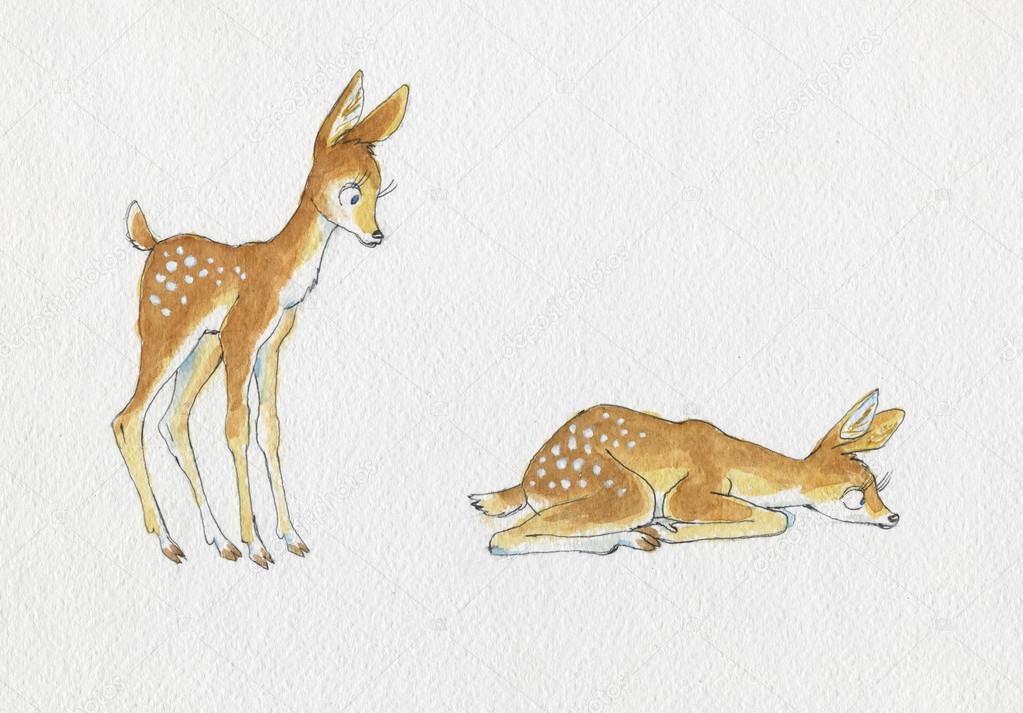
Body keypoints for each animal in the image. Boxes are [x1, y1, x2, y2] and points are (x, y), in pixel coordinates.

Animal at [112, 71, 409, 568]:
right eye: (351, 191)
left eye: (380, 189)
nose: (376, 234)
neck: (277, 274)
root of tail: (149, 243)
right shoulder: (242, 334)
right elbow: (236, 427)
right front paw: (258, 546)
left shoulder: (271, 341)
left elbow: (269, 427)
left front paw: (290, 537)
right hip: (165, 331)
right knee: (128, 418)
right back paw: (171, 542)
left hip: (202, 347)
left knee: (172, 419)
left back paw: (219, 540)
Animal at [469, 390, 904, 555]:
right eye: (855, 496)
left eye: (879, 485)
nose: (892, 516)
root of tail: (528, 480)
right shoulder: (691, 488)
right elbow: (781, 517)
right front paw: (674, 530)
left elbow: (781, 517)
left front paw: (672, 531)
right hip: (623, 488)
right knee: (500, 539)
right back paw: (637, 535)